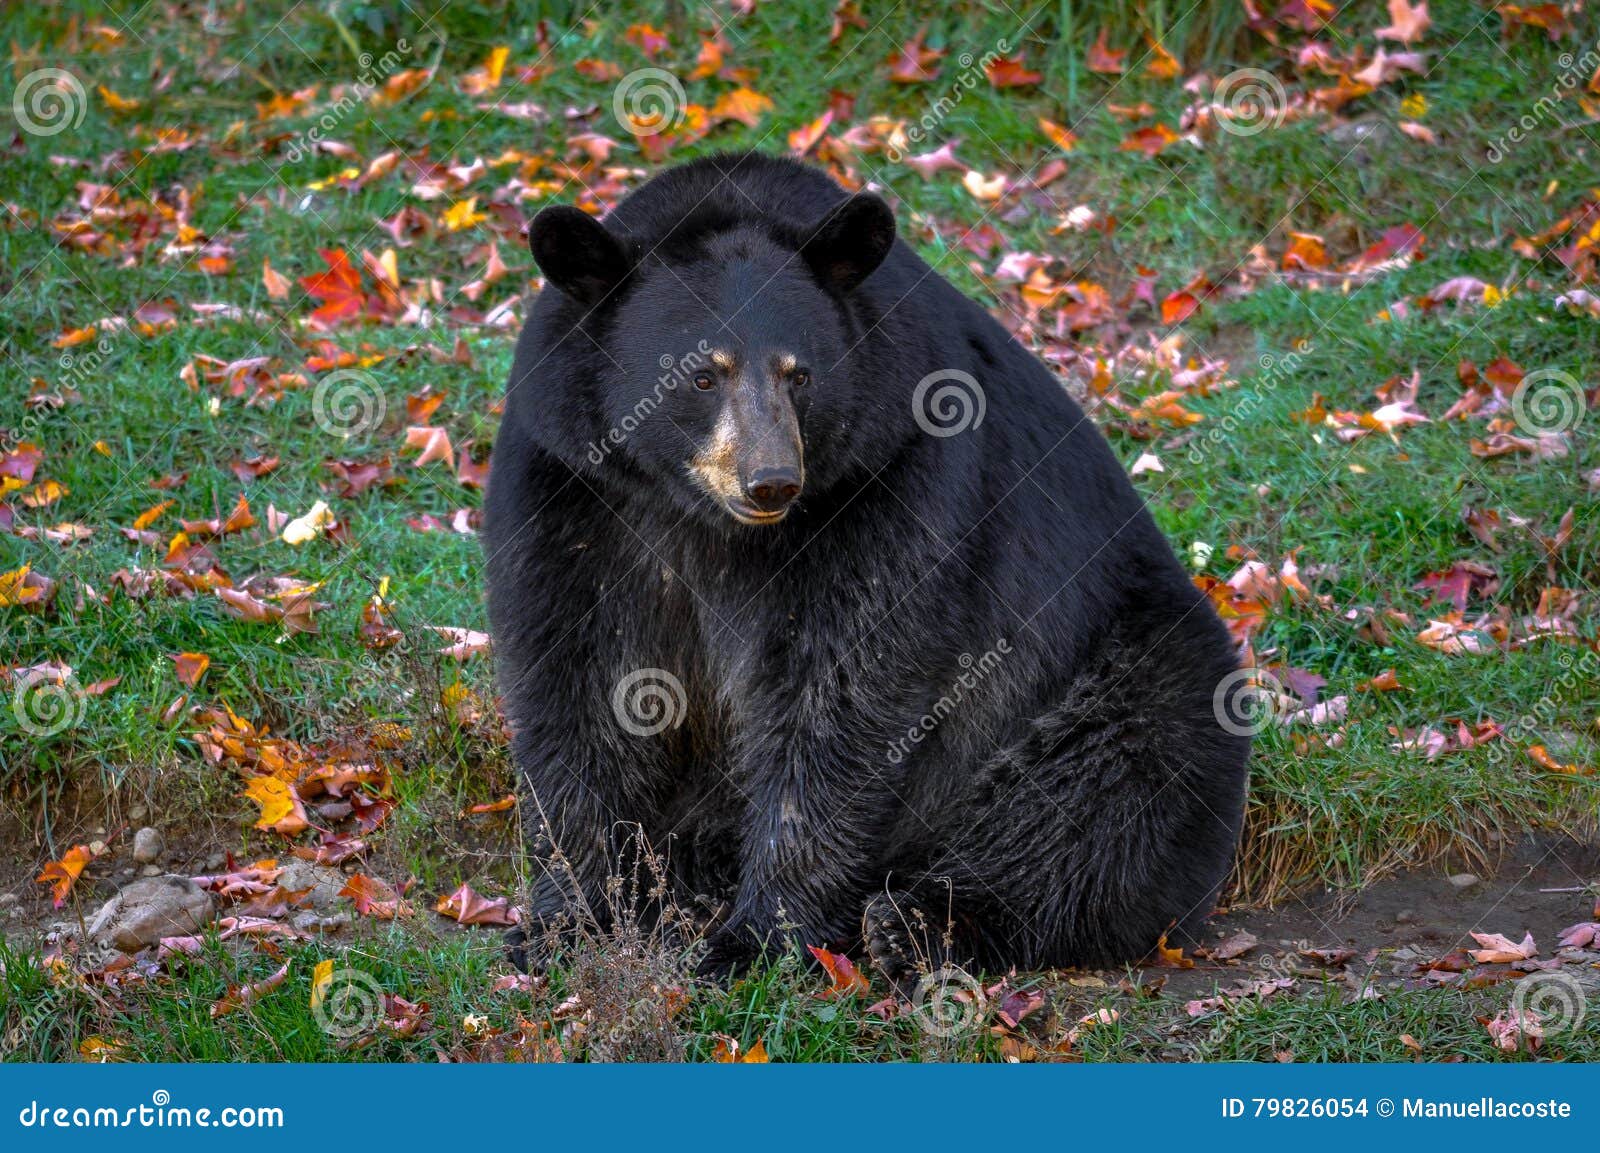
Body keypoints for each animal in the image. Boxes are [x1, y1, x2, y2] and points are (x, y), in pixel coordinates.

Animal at [484, 151, 1250, 983]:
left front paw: (754, 939)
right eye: (700, 374)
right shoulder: (575, 490)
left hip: (1125, 659)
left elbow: (842, 690)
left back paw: (915, 922)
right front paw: (567, 917)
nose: (771, 481)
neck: (702, 516)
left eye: (800, 373)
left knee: (1104, 799)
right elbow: (581, 681)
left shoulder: (889, 484)